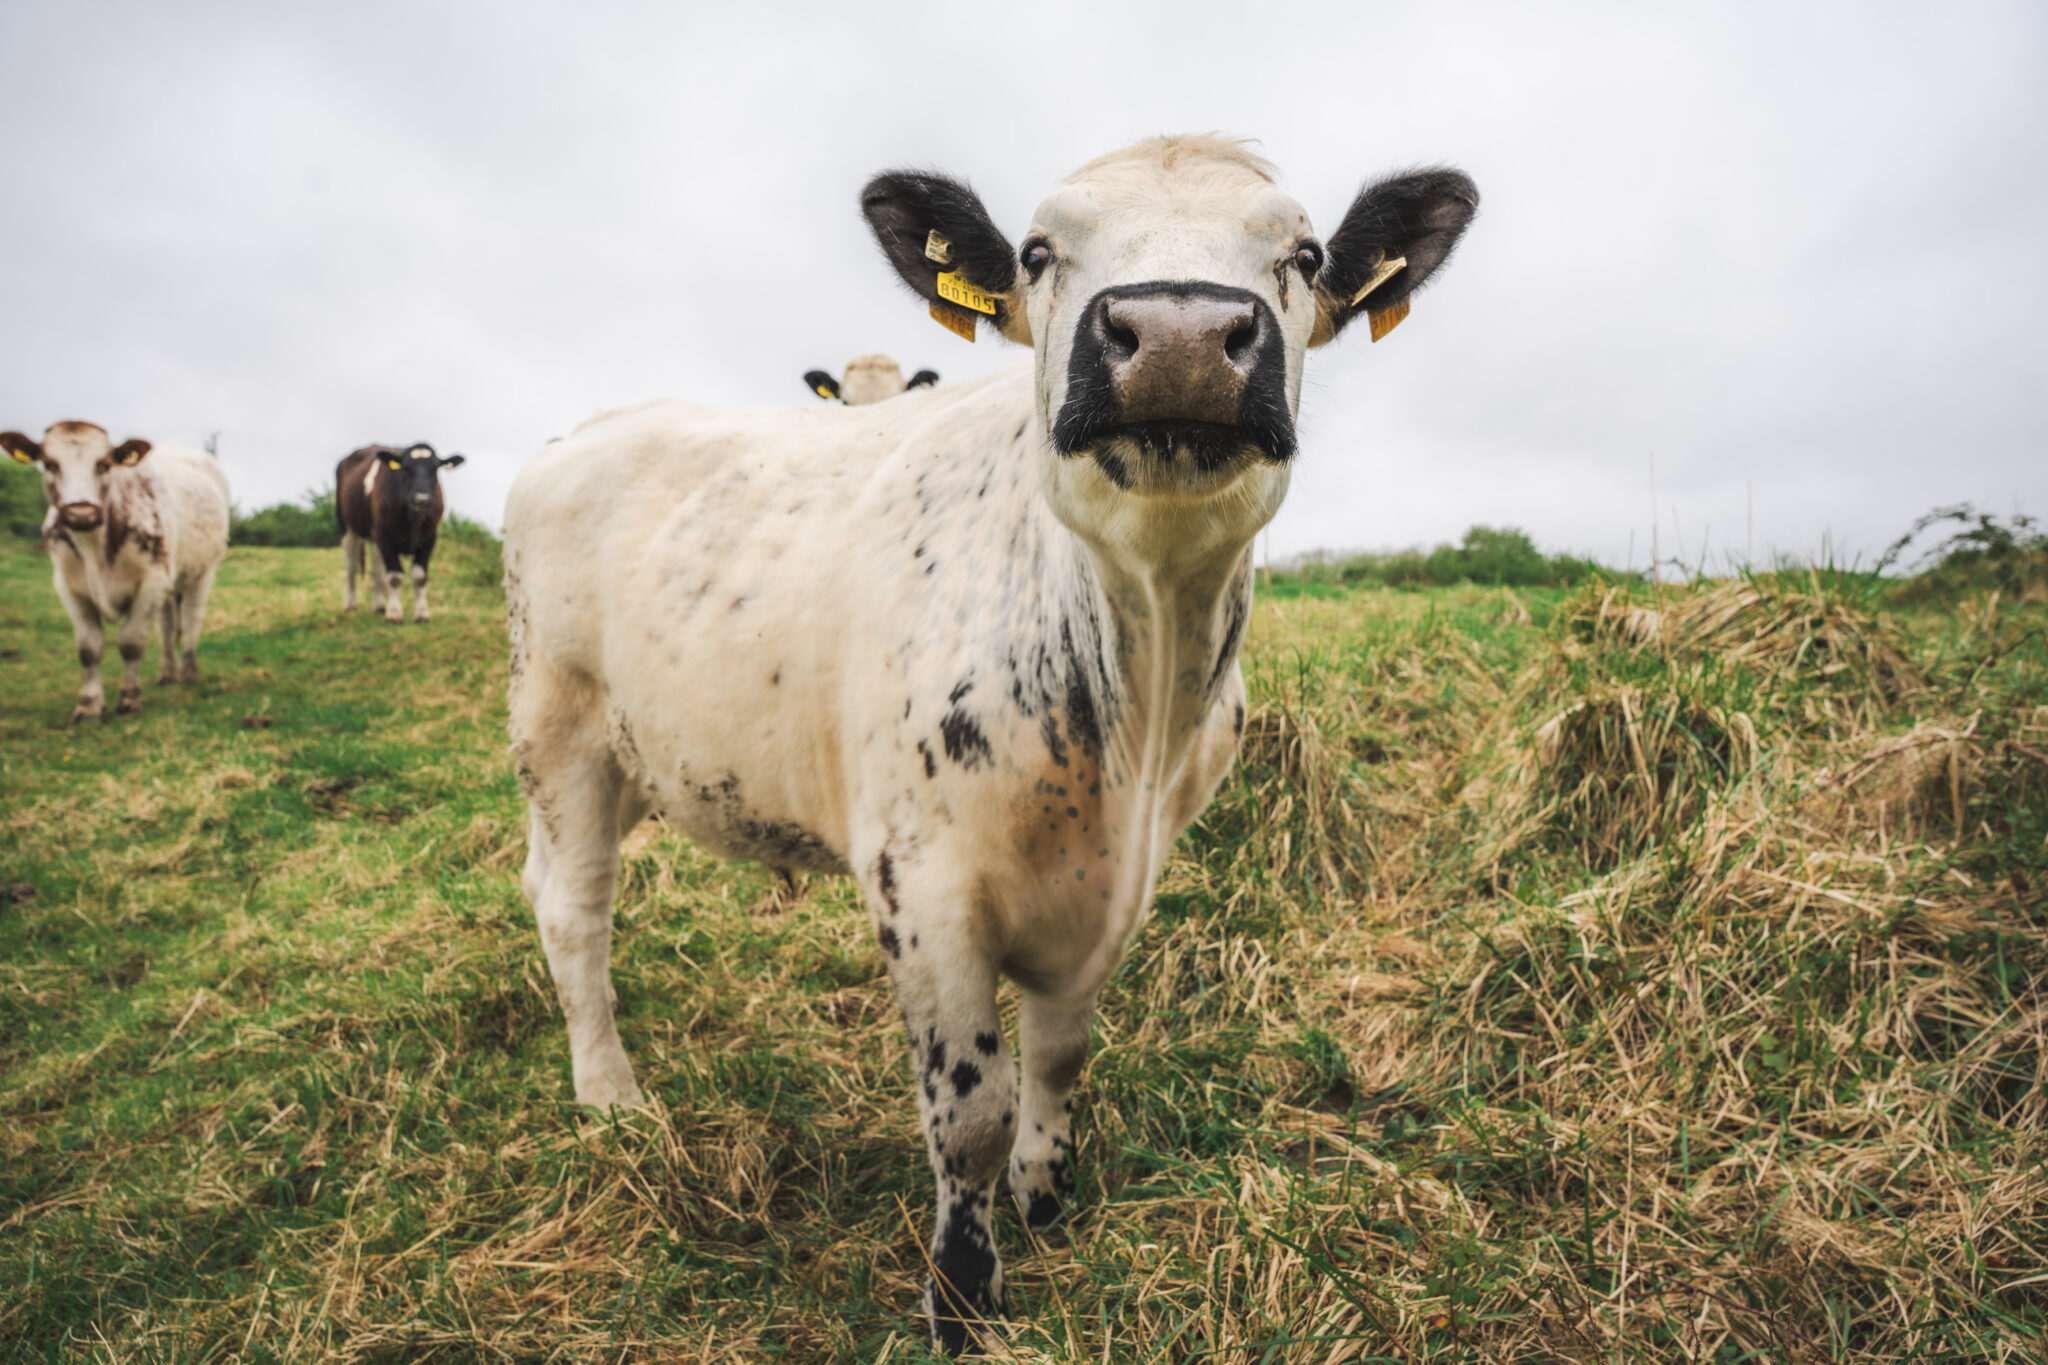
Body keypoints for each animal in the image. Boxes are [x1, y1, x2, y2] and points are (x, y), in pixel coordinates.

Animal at [2, 421, 230, 723]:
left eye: (105, 464)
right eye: (50, 464)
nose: (81, 512)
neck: (95, 547)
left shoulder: (152, 582)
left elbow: (131, 642)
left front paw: (129, 699)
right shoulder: (68, 587)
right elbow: (89, 647)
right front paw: (88, 705)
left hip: (203, 571)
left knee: (191, 620)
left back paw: (188, 673)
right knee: (168, 625)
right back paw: (167, 672)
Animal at [335, 442, 465, 623]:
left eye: (435, 469)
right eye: (406, 468)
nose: (421, 499)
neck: (413, 518)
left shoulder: (430, 538)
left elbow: (420, 576)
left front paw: (422, 613)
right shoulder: (386, 537)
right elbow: (395, 576)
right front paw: (394, 613)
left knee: (377, 568)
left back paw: (378, 605)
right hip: (346, 526)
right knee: (351, 566)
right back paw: (351, 605)